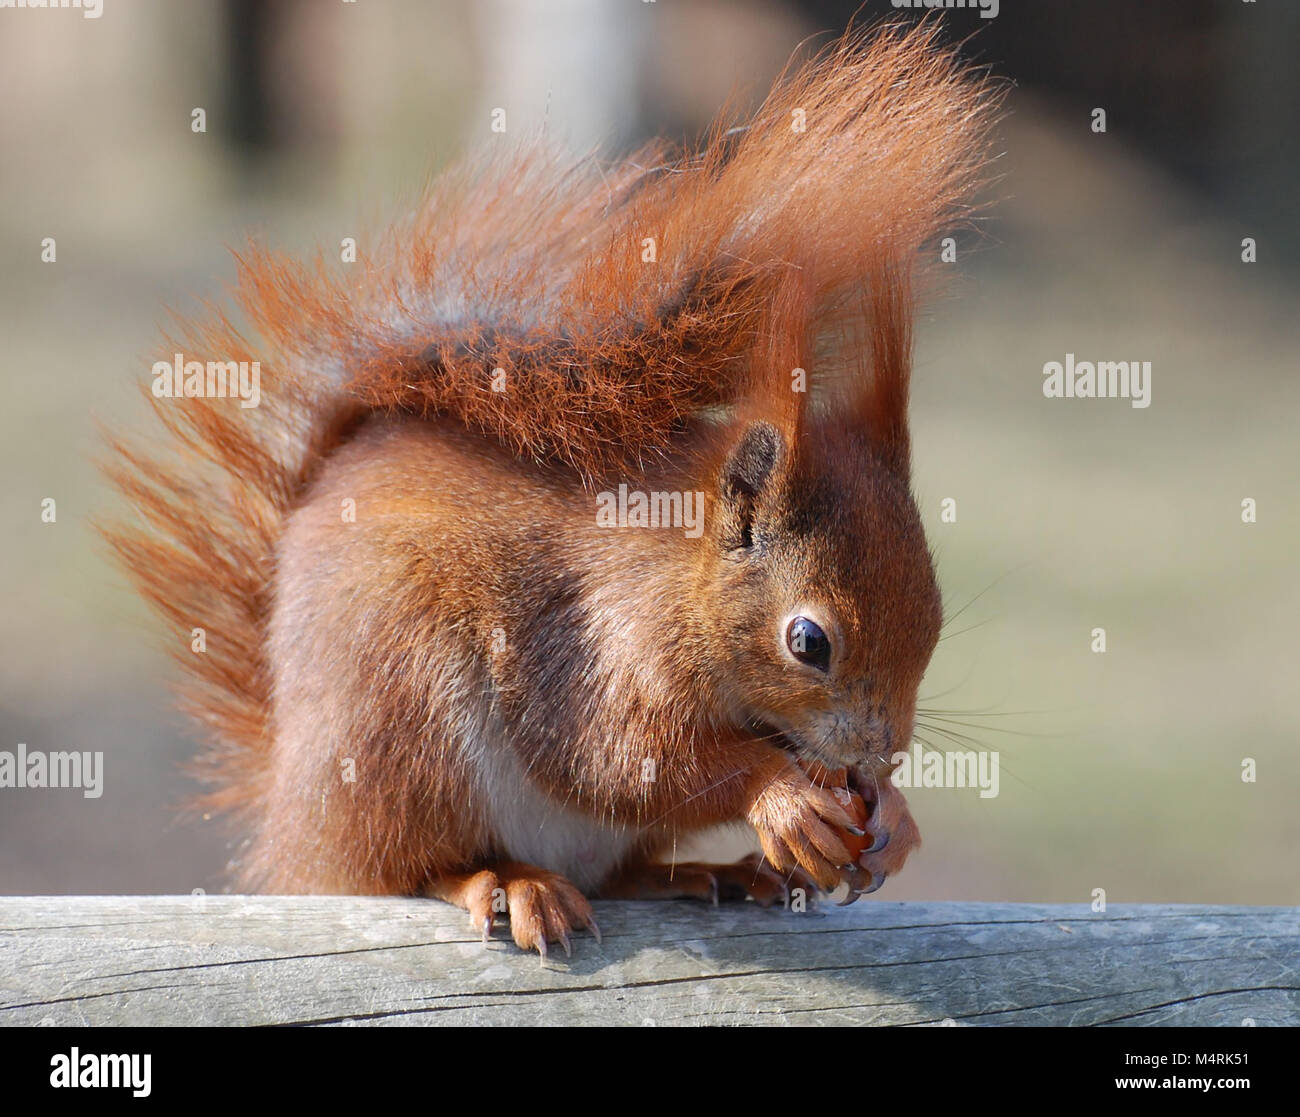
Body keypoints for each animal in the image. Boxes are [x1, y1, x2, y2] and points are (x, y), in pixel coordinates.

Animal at [102, 23, 996, 956]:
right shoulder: (594, 641)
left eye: (935, 617)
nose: (879, 756)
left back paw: (708, 874)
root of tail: (293, 818)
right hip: (402, 721)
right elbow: (623, 758)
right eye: (809, 641)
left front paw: (892, 817)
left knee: (617, 869)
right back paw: (507, 880)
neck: (681, 575)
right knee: (410, 865)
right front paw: (783, 797)